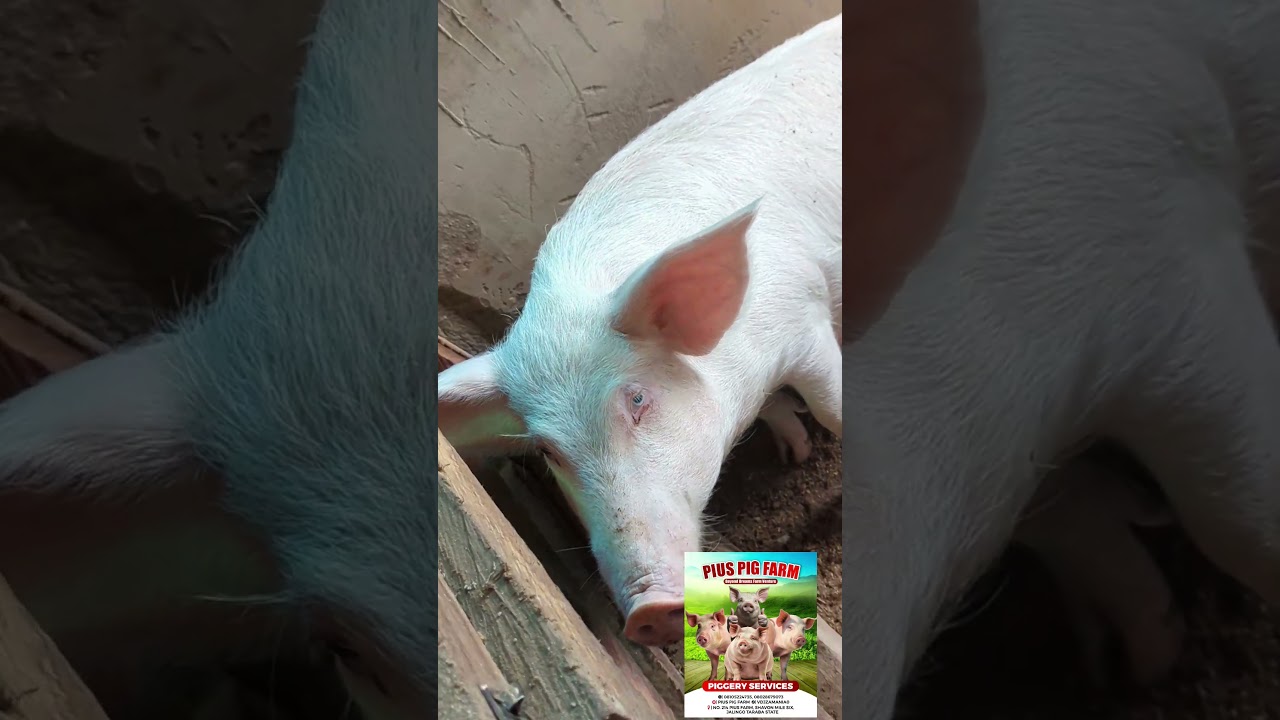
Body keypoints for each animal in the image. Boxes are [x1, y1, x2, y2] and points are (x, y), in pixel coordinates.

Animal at [438, 14, 843, 646]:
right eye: (549, 451)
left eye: (636, 399)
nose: (647, 613)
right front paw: (794, 452)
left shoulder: (805, 310)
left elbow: (832, 405)